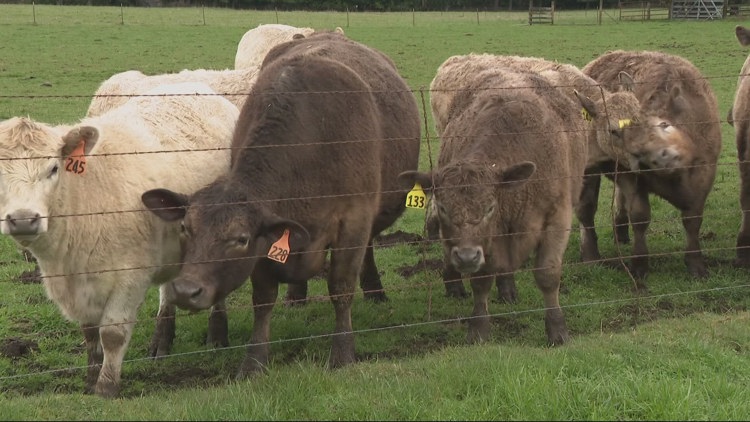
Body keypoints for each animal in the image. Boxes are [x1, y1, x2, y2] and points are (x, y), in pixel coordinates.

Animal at [0, 82, 238, 397]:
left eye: (53, 168)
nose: (24, 219)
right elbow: (90, 333)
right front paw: (91, 378)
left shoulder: (130, 276)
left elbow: (112, 333)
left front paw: (106, 387)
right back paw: (162, 340)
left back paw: (217, 335)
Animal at [142, 32, 420, 377]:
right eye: (185, 229)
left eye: (240, 239)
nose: (184, 291)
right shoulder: (268, 233)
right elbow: (263, 299)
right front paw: (253, 362)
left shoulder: (354, 219)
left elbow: (341, 288)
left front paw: (343, 353)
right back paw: (296, 297)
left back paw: (374, 290)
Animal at [400, 68, 589, 346]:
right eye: (443, 208)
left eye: (490, 208)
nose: (467, 256)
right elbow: (481, 281)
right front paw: (478, 328)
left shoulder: (557, 218)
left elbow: (547, 274)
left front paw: (557, 329)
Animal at [582, 50, 721, 287]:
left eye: (664, 125)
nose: (660, 156)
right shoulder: (633, 177)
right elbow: (640, 217)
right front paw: (639, 266)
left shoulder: (705, 173)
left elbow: (693, 220)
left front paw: (696, 266)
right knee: (586, 208)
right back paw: (591, 256)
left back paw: (621, 234)